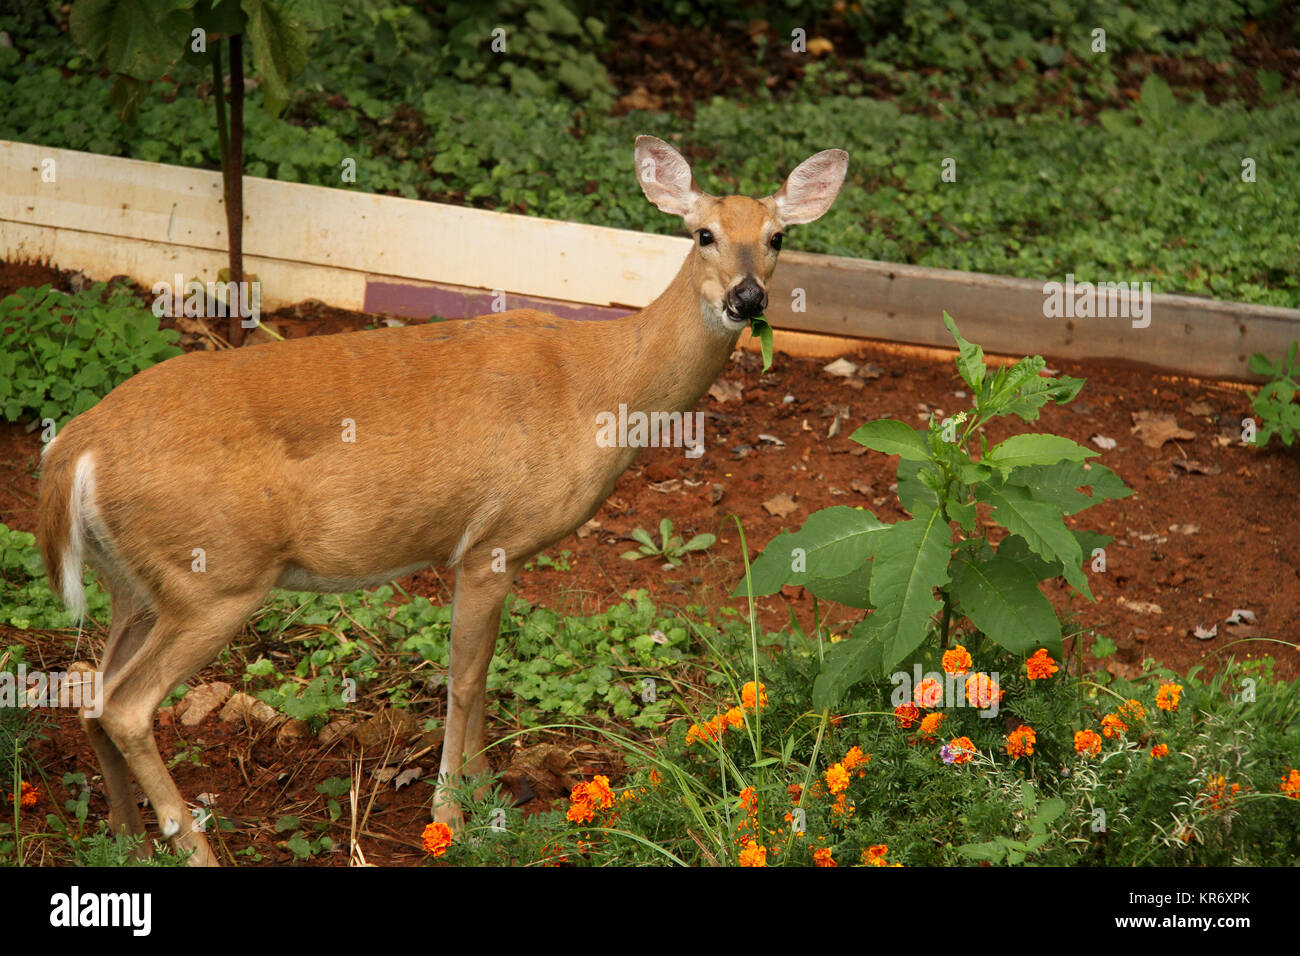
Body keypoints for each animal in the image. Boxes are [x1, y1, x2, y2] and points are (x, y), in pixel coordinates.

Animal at [37, 136, 848, 865]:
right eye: (702, 233)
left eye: (777, 237)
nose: (747, 298)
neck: (598, 387)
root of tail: (74, 450)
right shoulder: (493, 539)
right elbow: (463, 678)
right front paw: (453, 815)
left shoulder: (494, 551)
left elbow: (480, 677)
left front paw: (490, 796)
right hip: (217, 575)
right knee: (126, 705)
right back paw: (195, 851)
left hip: (140, 583)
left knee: (89, 694)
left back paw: (127, 840)